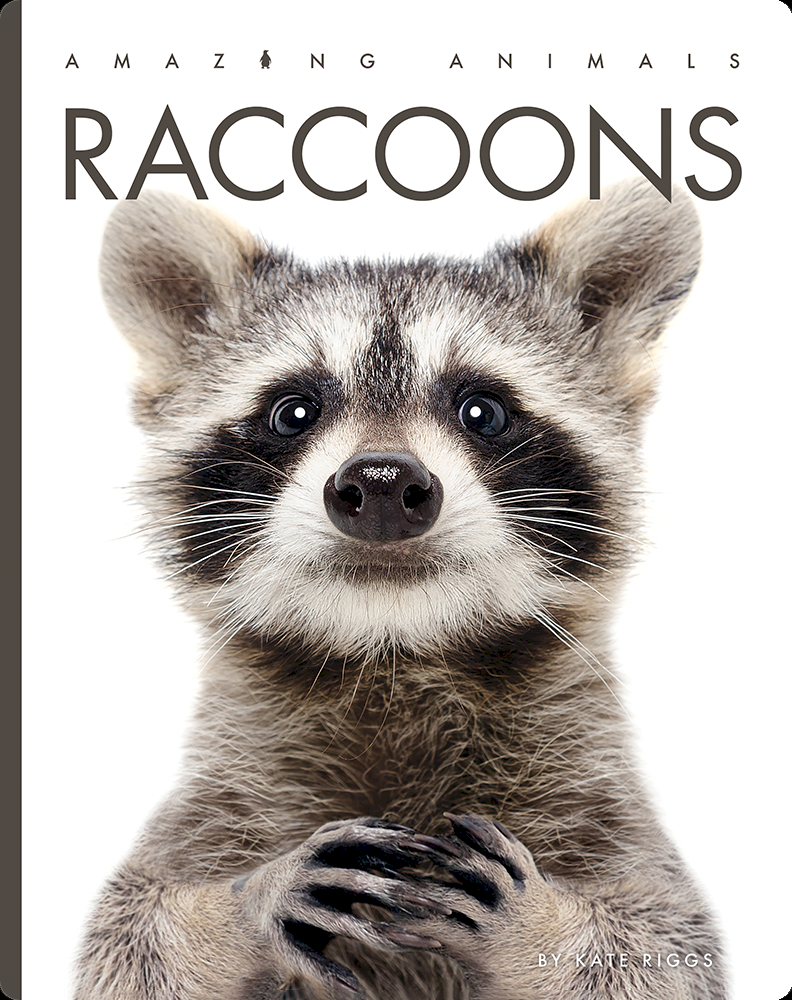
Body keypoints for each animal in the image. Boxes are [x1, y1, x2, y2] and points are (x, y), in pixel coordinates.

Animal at [75, 179, 726, 1000]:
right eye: (294, 411)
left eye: (482, 409)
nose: (383, 484)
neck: (392, 654)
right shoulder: (214, 803)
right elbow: (127, 937)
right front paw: (238, 906)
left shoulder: (604, 807)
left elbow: (667, 947)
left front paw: (541, 926)